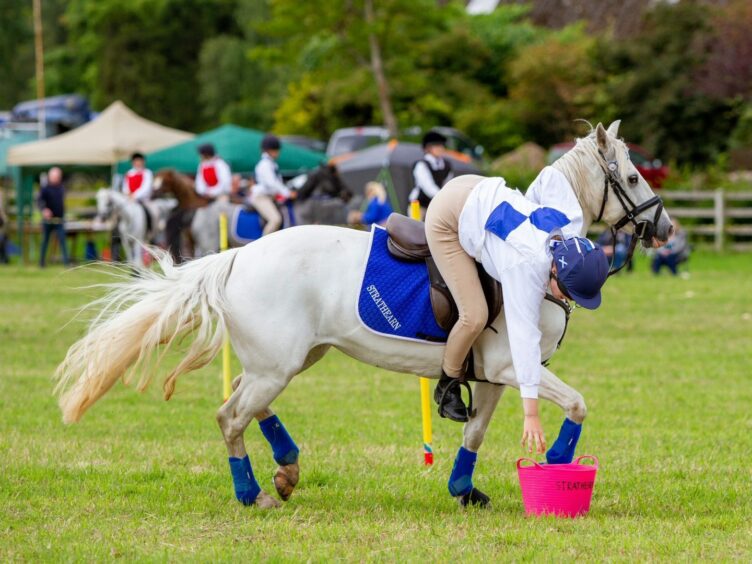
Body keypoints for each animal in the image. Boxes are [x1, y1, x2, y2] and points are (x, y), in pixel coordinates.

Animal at [56, 122, 672, 510]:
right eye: (633, 177)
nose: (665, 228)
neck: (547, 244)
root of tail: (235, 256)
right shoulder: (507, 365)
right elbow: (576, 403)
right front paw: (559, 460)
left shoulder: (496, 376)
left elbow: (474, 432)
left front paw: (464, 490)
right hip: (277, 364)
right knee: (230, 416)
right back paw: (254, 492)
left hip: (291, 358)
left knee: (245, 402)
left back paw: (287, 469)